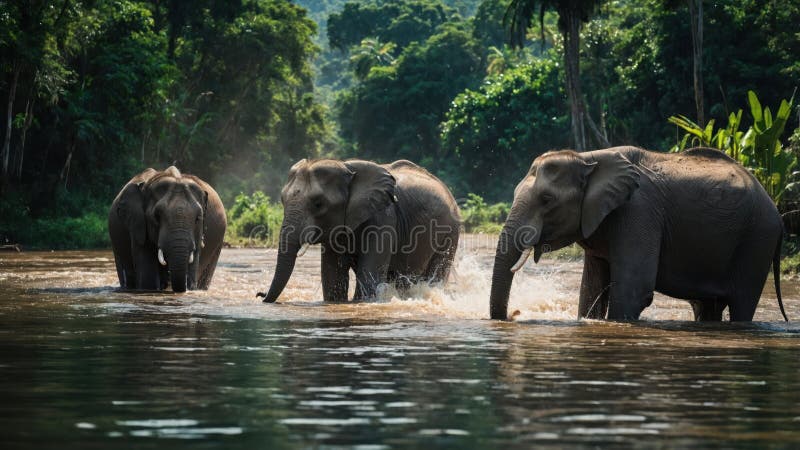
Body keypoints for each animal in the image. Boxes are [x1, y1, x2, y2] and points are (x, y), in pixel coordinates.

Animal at [257, 158, 460, 303]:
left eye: (318, 204)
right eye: (282, 200)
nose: (260, 294)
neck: (346, 167)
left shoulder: (383, 217)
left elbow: (368, 278)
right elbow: (333, 278)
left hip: (450, 232)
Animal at [489, 146, 788, 322]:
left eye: (547, 199)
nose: (514, 315)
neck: (588, 158)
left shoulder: (639, 213)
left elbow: (634, 289)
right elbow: (591, 290)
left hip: (757, 238)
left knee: (742, 302)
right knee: (706, 307)